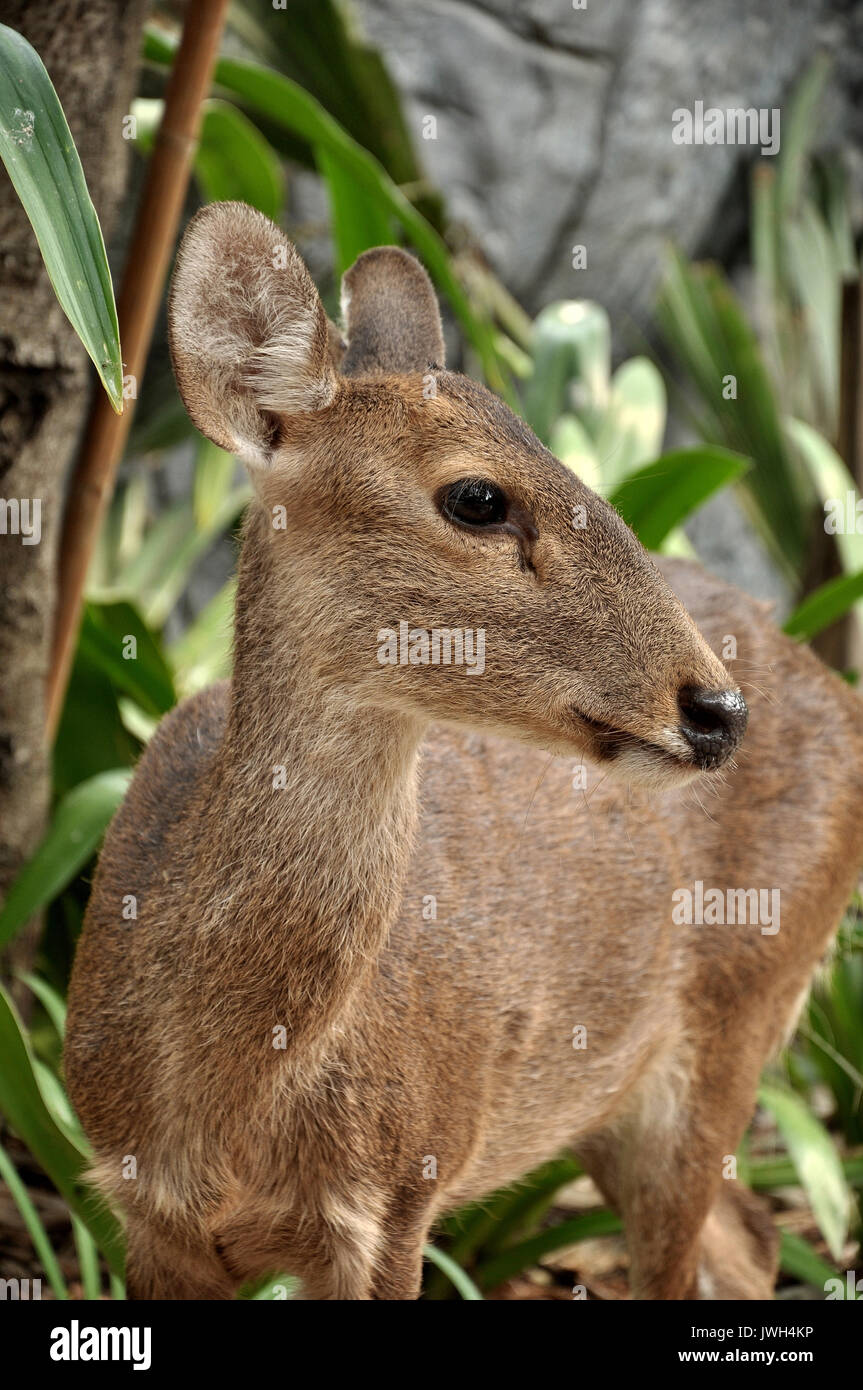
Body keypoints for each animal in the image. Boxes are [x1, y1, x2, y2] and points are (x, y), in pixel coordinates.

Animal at [65, 201, 863, 1301]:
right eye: (477, 499)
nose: (714, 709)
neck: (233, 1095)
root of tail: (836, 692)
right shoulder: (143, 1209)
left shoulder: (404, 1184)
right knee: (742, 1240)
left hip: (739, 1016)